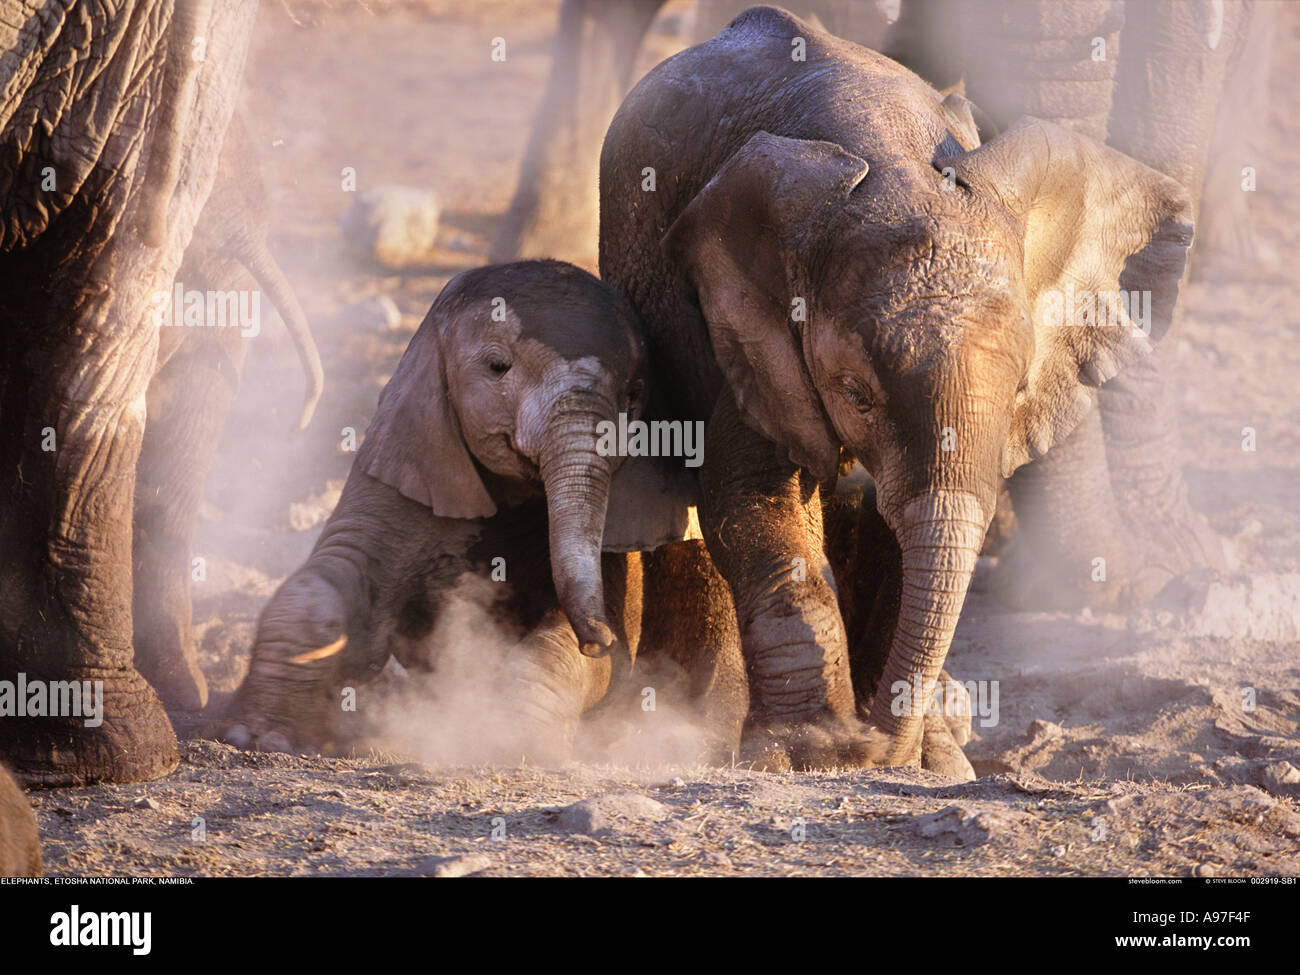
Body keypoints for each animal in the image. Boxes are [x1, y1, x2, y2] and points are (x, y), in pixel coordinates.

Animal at [225, 260, 747, 763]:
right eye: (497, 367)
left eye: (635, 394)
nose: (599, 637)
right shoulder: (406, 449)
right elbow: (331, 579)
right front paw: (260, 736)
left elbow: (572, 648)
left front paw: (516, 744)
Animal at [599, 7, 1193, 771]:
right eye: (856, 393)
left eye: (1021, 389)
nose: (874, 746)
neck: (894, 161)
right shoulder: (747, 333)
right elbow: (748, 498)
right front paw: (809, 750)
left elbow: (906, 524)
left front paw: (933, 760)